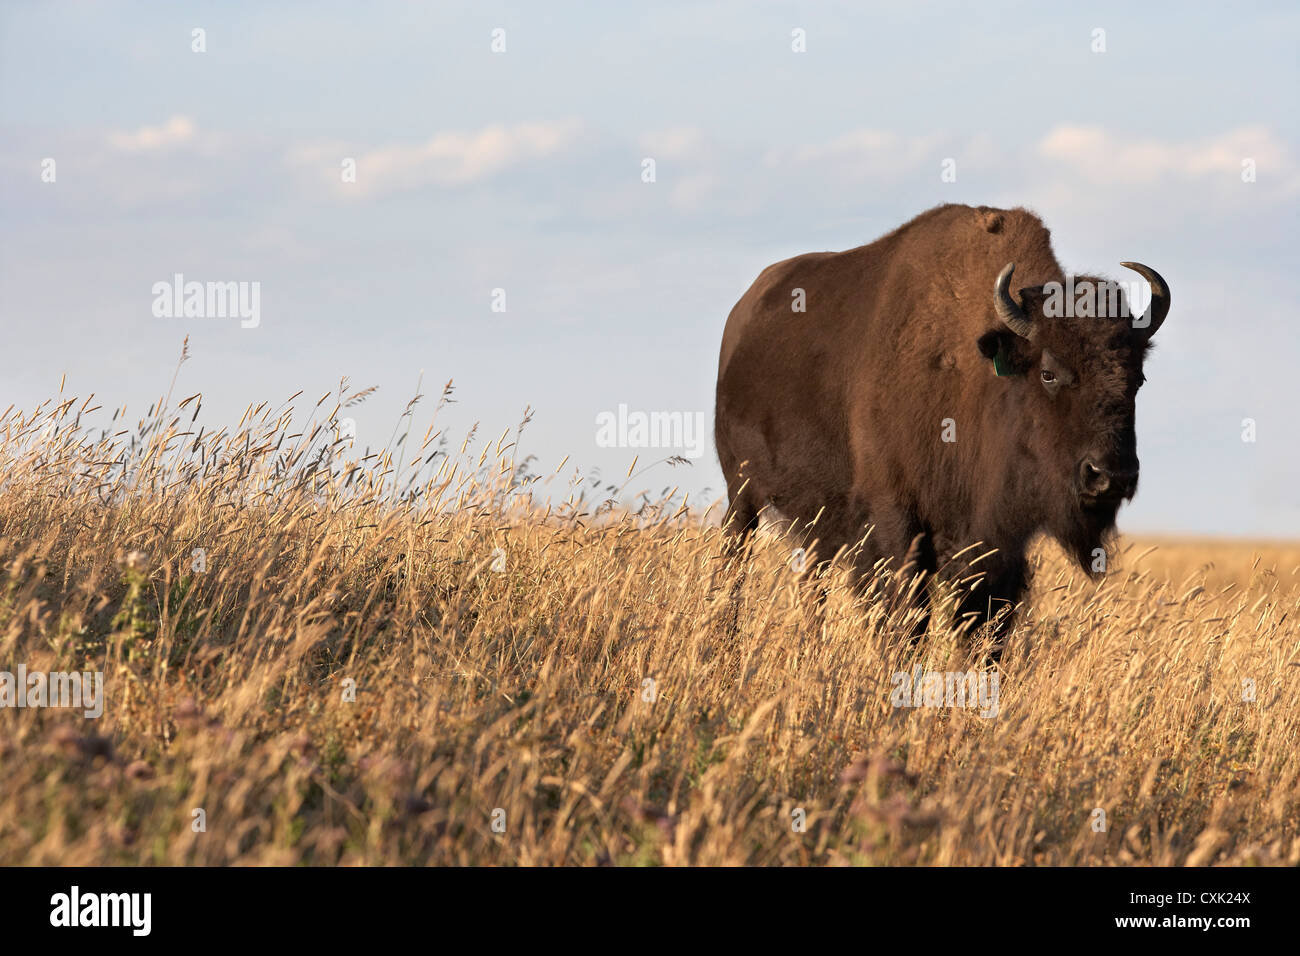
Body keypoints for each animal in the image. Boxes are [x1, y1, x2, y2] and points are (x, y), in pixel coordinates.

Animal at [714, 203, 1169, 643]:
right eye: (1048, 373)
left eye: (1138, 378)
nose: (1110, 476)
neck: (979, 372)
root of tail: (742, 313)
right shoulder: (896, 516)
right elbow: (908, 618)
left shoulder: (999, 547)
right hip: (741, 492)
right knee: (734, 560)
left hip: (814, 523)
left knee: (813, 581)